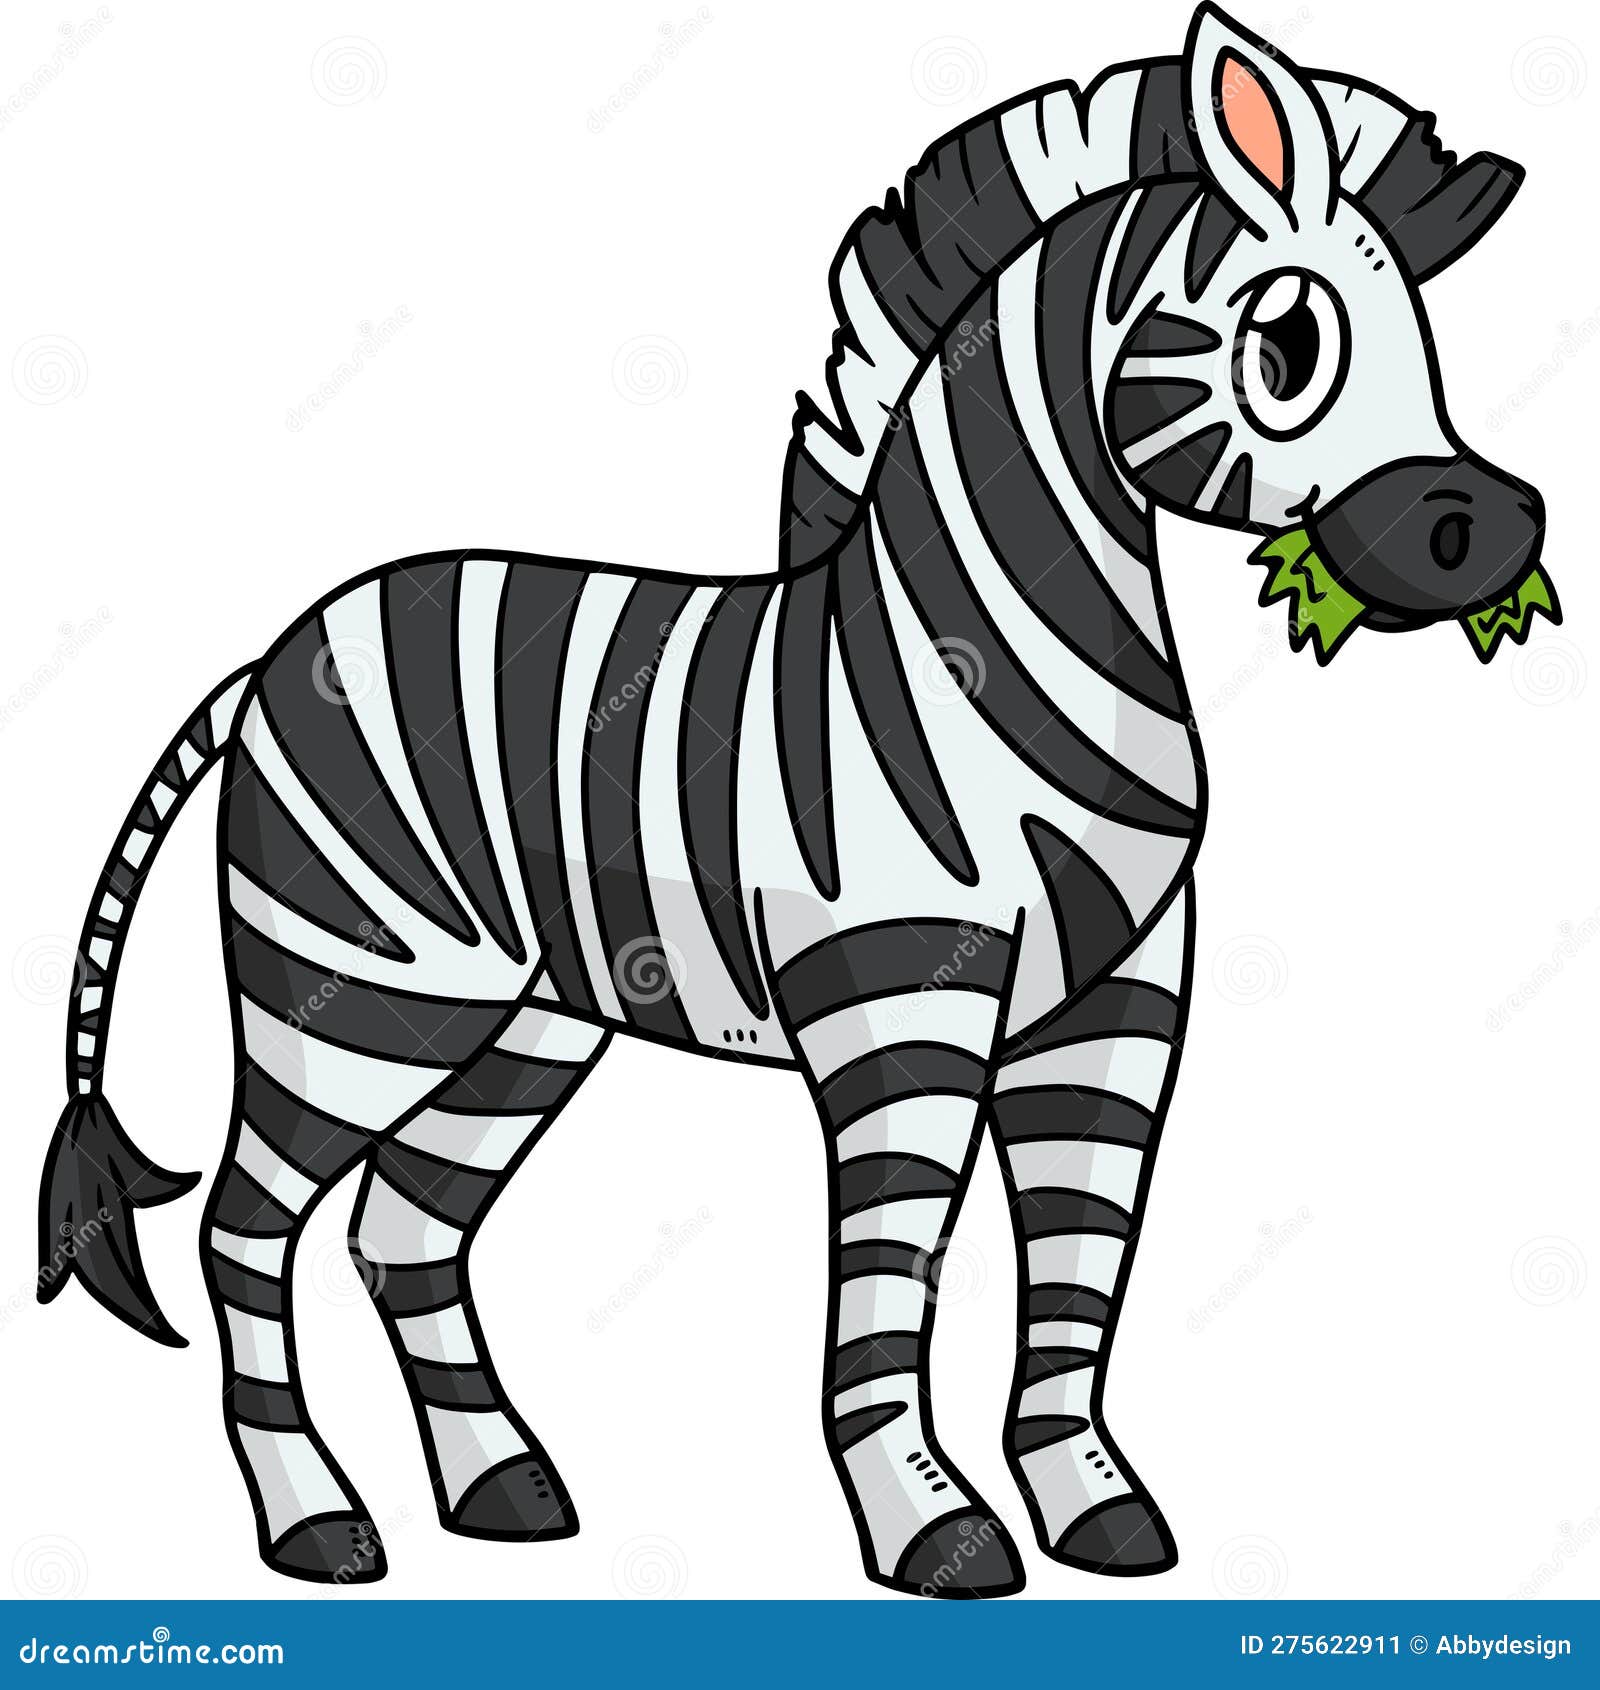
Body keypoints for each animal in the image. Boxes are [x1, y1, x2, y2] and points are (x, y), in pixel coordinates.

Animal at [38, 6, 1553, 1598]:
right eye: (1291, 341)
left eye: (1423, 342)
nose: (1498, 526)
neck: (992, 662)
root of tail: (279, 649)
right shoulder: (902, 999)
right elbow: (892, 1274)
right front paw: (932, 1523)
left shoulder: (1120, 1006)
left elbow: (1081, 1267)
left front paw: (1089, 1502)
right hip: (355, 996)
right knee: (244, 1232)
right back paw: (316, 1522)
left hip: (529, 1021)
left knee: (405, 1230)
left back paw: (502, 1488)